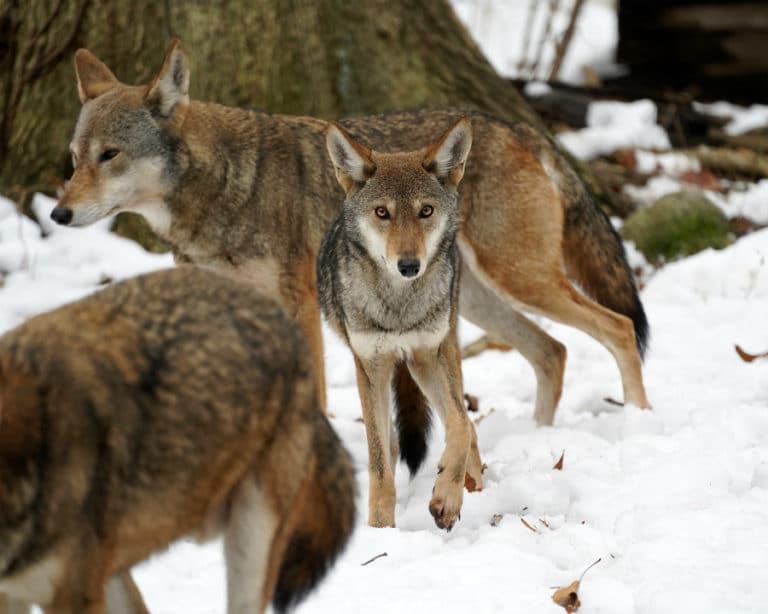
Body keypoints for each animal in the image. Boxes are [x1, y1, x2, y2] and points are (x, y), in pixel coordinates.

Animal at [51, 39, 651, 427]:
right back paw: (539, 438)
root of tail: (520, 126)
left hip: (520, 280)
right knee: (553, 351)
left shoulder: (300, 302)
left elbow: (315, 393)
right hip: (480, 300)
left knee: (618, 328)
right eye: (75, 158)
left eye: (111, 155)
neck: (224, 186)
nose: (58, 214)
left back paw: (638, 420)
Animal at [318, 118, 483, 530]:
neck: (399, 308)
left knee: (463, 423)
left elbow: (461, 424)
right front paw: (380, 528)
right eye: (382, 213)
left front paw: (447, 498)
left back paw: (470, 486)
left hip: (435, 356)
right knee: (392, 443)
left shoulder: (430, 353)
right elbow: (379, 461)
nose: (409, 265)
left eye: (425, 211)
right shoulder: (371, 366)